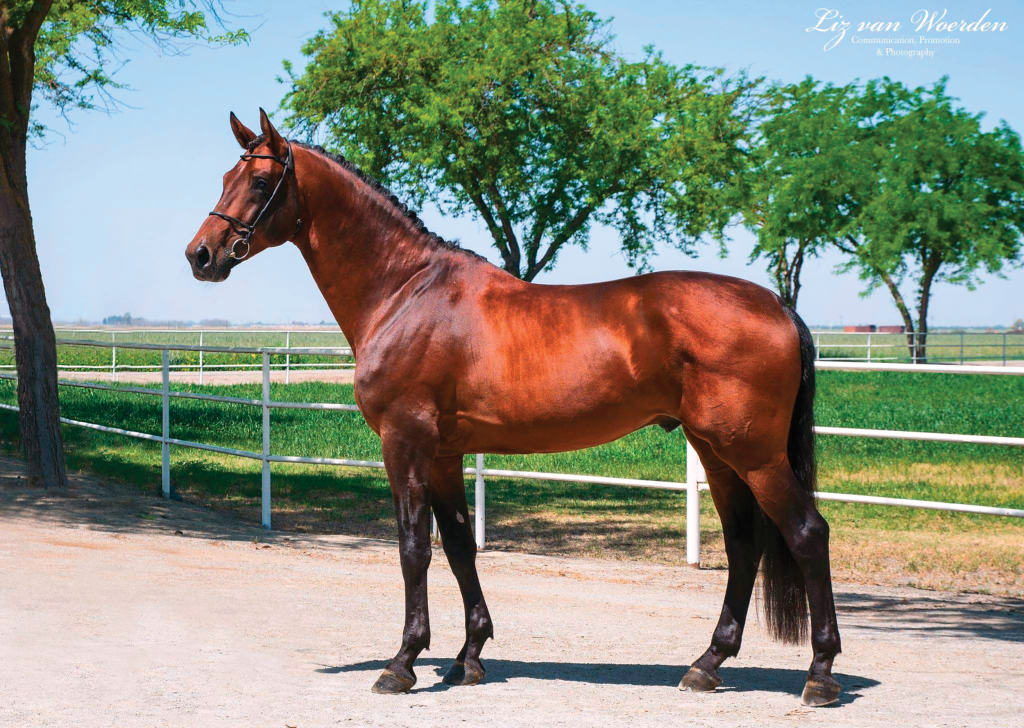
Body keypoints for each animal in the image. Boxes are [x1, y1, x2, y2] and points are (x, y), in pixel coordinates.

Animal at [184, 110, 842, 707]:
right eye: (225, 177)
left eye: (260, 182)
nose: (201, 256)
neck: (404, 292)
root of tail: (779, 306)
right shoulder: (444, 455)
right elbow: (457, 547)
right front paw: (468, 657)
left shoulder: (405, 443)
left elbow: (412, 548)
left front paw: (402, 663)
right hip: (716, 451)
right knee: (743, 544)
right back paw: (707, 664)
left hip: (752, 454)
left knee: (807, 533)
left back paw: (819, 675)